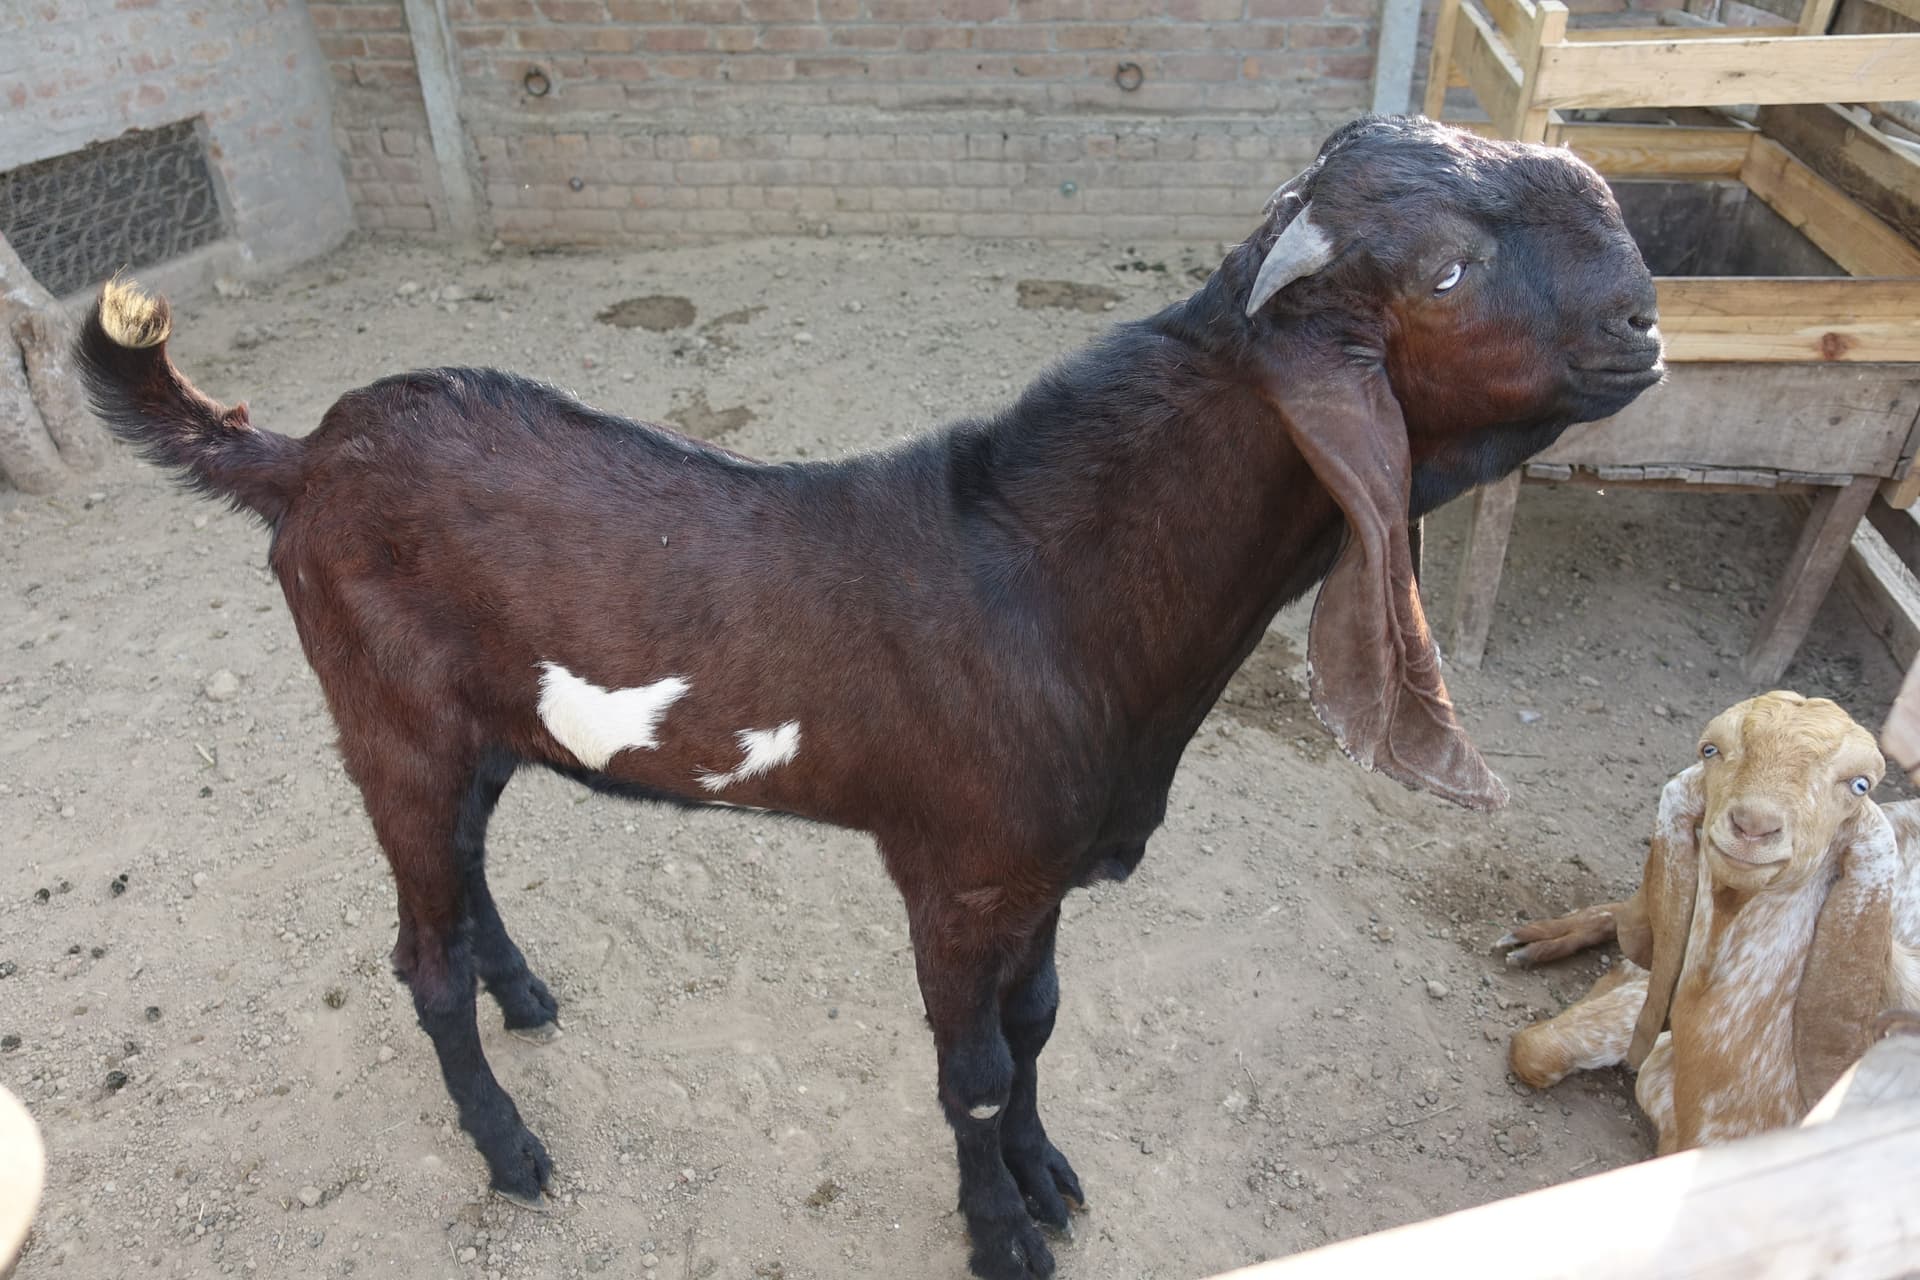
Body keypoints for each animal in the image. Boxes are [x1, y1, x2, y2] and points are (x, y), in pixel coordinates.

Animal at [77, 115, 1662, 1279]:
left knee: (462, 879)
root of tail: (302, 457)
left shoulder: (1040, 874)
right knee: (420, 953)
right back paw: (512, 1150)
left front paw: (1050, 1177)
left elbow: (1041, 1026)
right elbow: (973, 1066)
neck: (1048, 591)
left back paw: (526, 994)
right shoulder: (954, 872)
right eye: (1447, 271)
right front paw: (1003, 1236)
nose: (1648, 319)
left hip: (477, 731)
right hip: (388, 718)